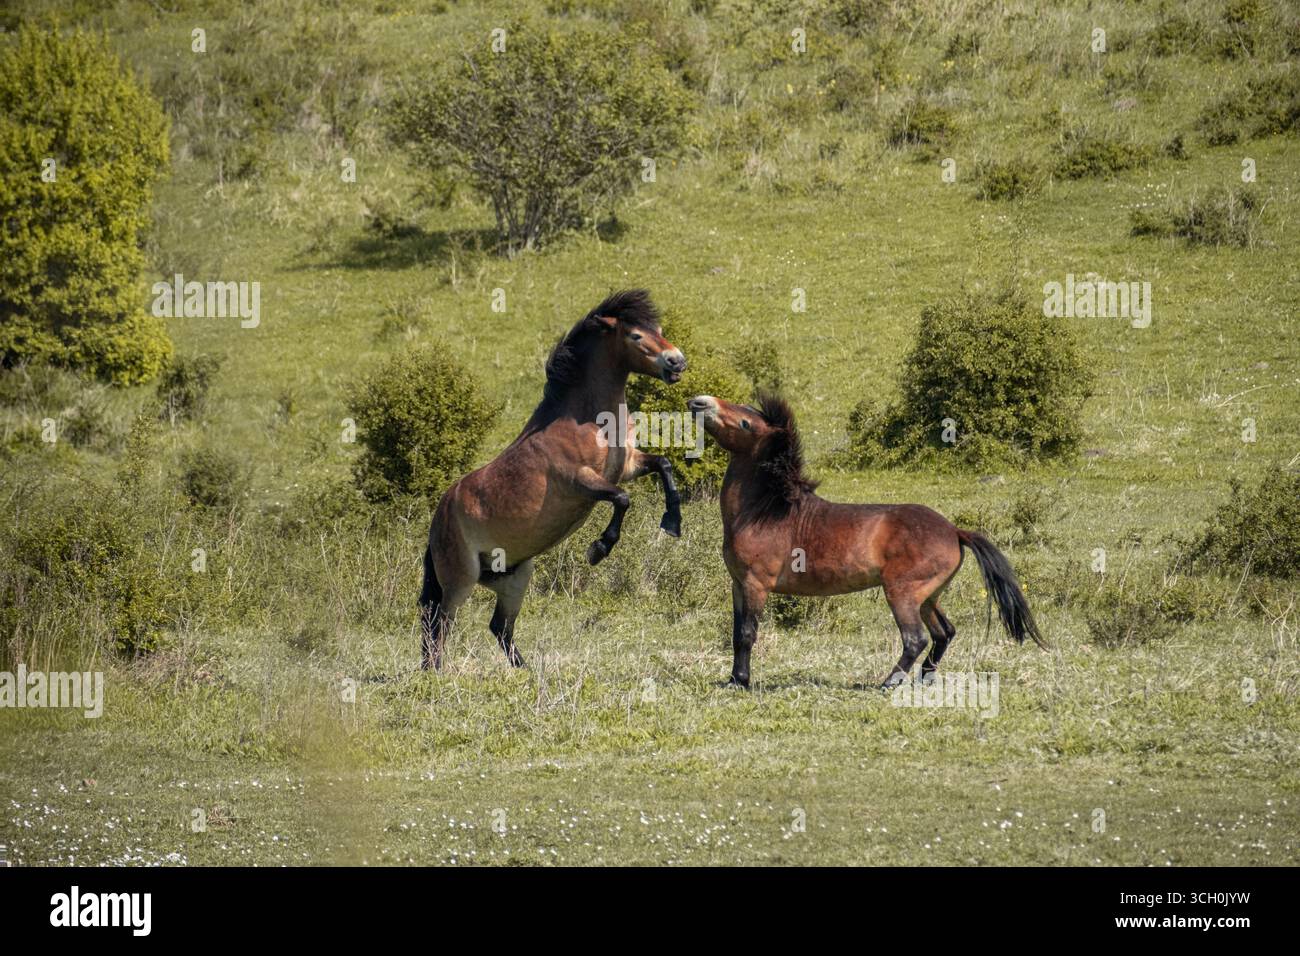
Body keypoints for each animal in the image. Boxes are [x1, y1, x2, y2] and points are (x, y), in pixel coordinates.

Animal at [418, 290, 687, 670]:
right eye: (636, 336)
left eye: (659, 330)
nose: (677, 361)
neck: (588, 420)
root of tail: (437, 523)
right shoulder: (580, 481)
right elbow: (622, 499)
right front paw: (598, 549)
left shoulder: (628, 466)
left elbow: (663, 466)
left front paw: (673, 522)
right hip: (460, 580)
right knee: (439, 621)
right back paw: (438, 672)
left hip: (515, 577)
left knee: (499, 627)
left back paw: (525, 671)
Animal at [686, 392, 1046, 690]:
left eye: (745, 422)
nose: (699, 402)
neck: (764, 511)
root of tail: (955, 531)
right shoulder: (737, 584)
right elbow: (736, 634)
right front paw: (733, 678)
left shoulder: (755, 583)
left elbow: (748, 634)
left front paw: (741, 682)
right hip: (929, 596)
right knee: (944, 632)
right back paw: (924, 680)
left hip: (902, 592)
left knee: (915, 638)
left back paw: (889, 683)